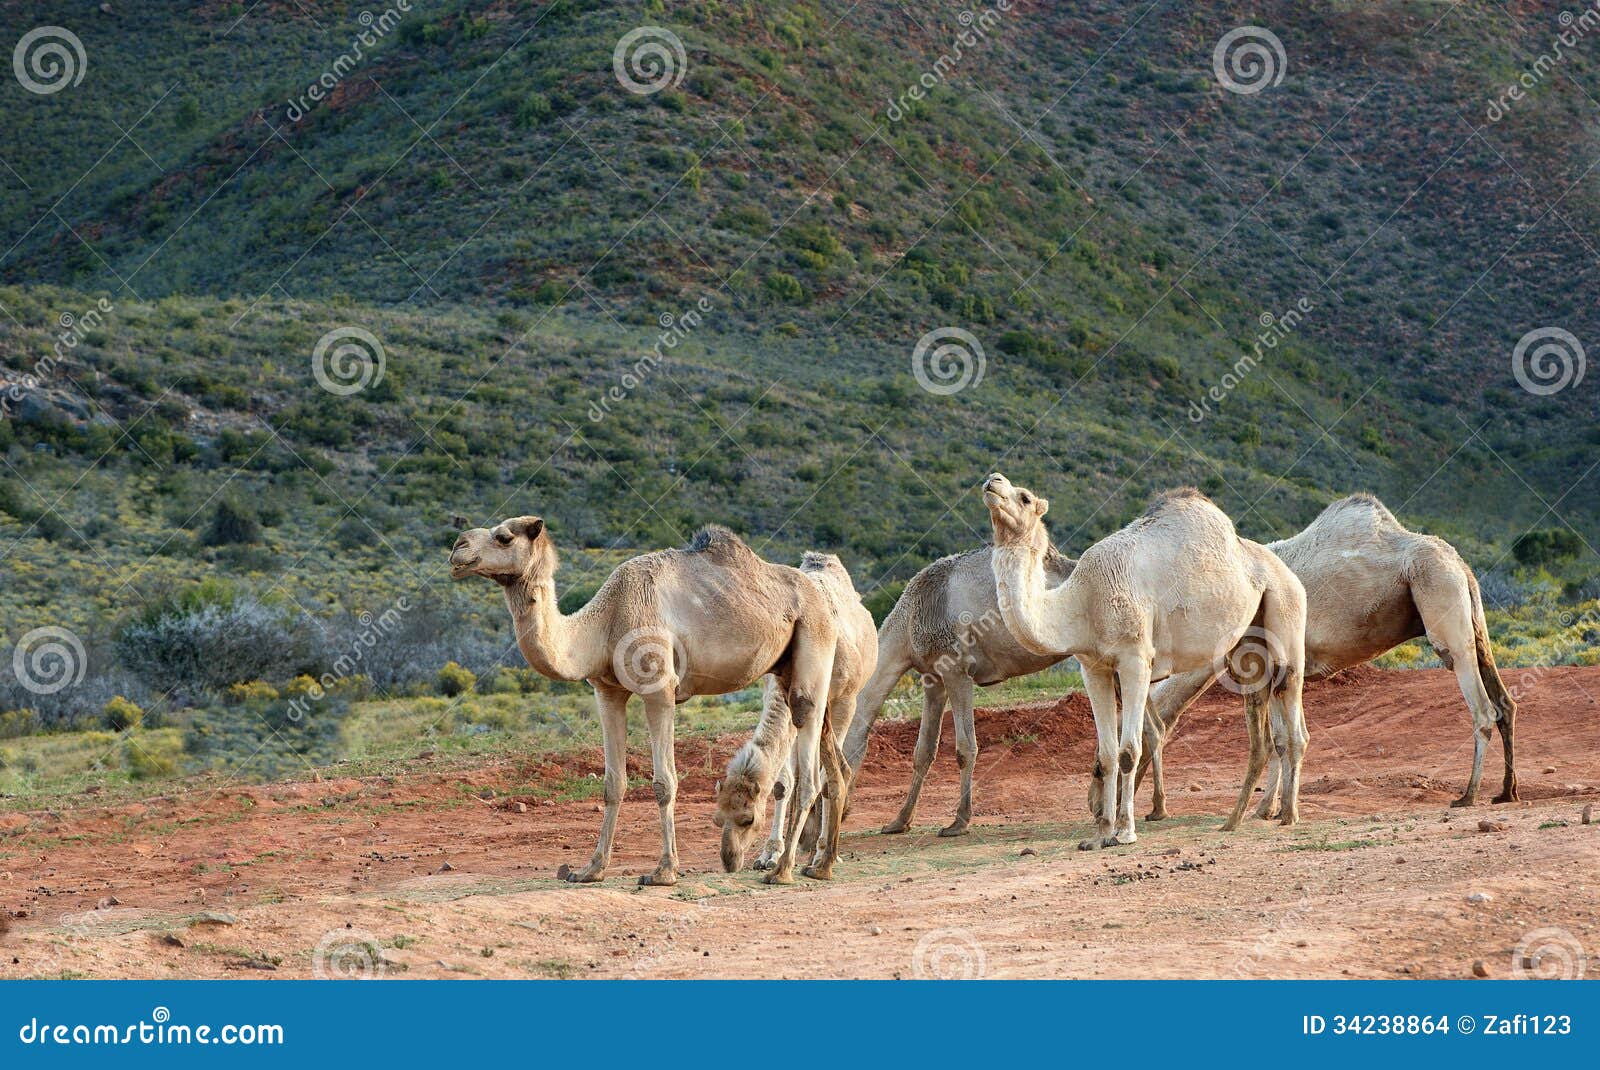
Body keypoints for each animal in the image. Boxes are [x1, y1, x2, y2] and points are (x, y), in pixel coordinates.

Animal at [449, 518, 839, 886]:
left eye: (504, 536)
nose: (457, 547)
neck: (604, 623)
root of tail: (821, 596)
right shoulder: (606, 691)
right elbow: (613, 783)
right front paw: (590, 869)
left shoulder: (659, 689)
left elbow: (664, 783)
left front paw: (663, 871)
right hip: (786, 672)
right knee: (831, 761)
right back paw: (820, 866)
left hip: (814, 644)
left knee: (808, 767)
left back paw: (782, 870)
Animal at [715, 552, 877, 878]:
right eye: (718, 818)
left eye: (748, 818)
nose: (729, 861)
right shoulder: (782, 696)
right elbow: (781, 783)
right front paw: (770, 855)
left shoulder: (842, 702)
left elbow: (827, 779)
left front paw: (820, 855)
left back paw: (821, 851)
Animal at [839, 545, 1075, 837]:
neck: (910, 619)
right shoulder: (933, 677)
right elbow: (923, 751)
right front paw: (899, 821)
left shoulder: (956, 669)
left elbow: (965, 747)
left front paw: (958, 822)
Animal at [982, 473, 1310, 847]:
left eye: (1023, 497)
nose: (993, 481)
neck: (1082, 601)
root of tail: (1287, 573)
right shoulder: (1092, 667)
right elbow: (1107, 753)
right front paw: (1100, 834)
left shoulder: (1135, 660)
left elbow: (1128, 751)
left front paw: (1125, 831)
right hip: (1247, 642)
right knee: (1268, 721)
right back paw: (1240, 819)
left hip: (1287, 609)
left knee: (1292, 704)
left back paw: (1288, 815)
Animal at [1099, 493, 1519, 823]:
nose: (1101, 807)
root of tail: (1461, 564)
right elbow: (1283, 738)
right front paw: (1272, 809)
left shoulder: (1264, 662)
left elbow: (1280, 740)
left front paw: (1268, 809)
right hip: (1471, 617)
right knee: (1504, 701)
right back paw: (1506, 792)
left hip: (1440, 595)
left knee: (1482, 706)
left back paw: (1468, 796)